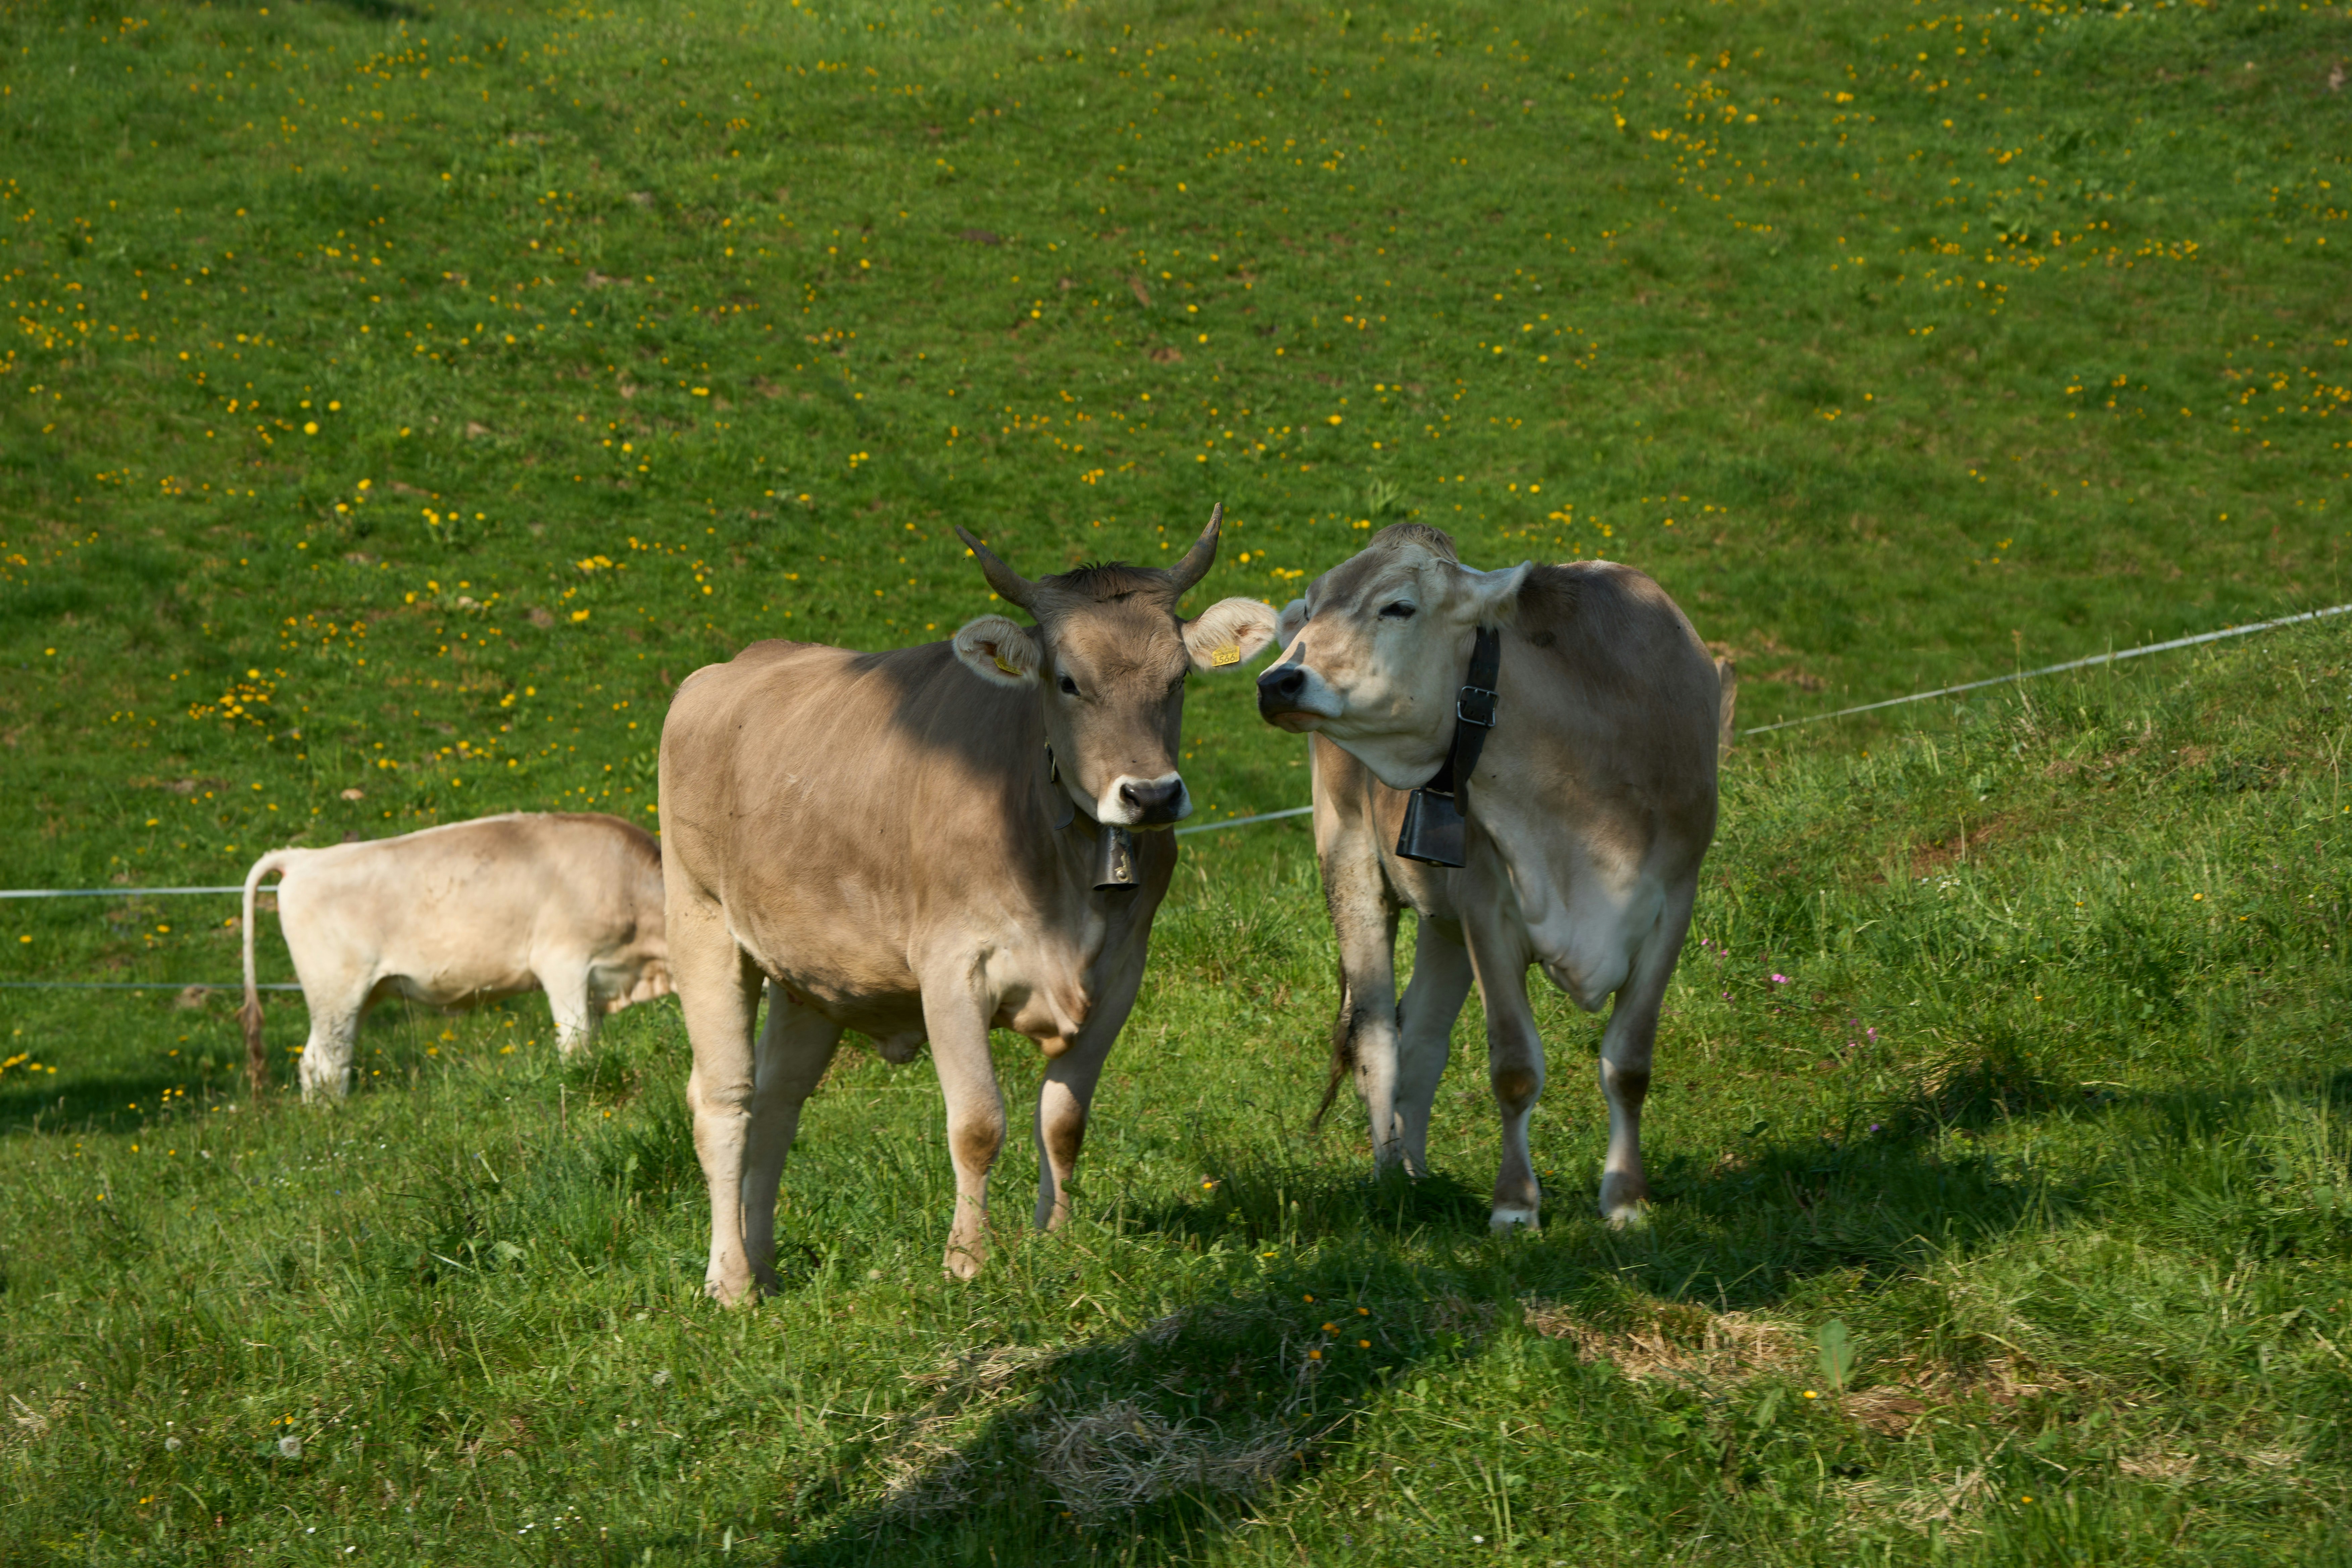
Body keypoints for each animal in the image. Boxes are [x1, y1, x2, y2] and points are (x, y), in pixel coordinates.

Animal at [237, 813, 673, 1101]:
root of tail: (303, 857)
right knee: (323, 1063)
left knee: (327, 1061)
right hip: (335, 991)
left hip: (361, 995)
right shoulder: (564, 965)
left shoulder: (601, 982)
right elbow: (574, 1046)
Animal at [658, 508, 1279, 1300]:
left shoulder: (1120, 975)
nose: (1151, 795)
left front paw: (1055, 1242)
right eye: (1068, 681)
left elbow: (1064, 1121)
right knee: (723, 1101)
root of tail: (733, 667)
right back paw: (731, 1280)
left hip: (807, 975)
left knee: (776, 1102)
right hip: (701, 924)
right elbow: (978, 1123)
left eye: (1177, 680)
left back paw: (763, 1263)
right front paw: (967, 1260)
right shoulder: (953, 968)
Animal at [1254, 523, 1723, 1232]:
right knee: (1375, 1033)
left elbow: (1629, 1062)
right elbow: (1514, 1066)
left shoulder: (1673, 900)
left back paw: (1418, 1175)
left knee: (1422, 1036)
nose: (1278, 679)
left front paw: (1625, 1199)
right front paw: (1514, 1206)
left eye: (1398, 606)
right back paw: (1389, 1178)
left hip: (1440, 918)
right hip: (1350, 859)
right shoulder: (1486, 906)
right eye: (1310, 609)